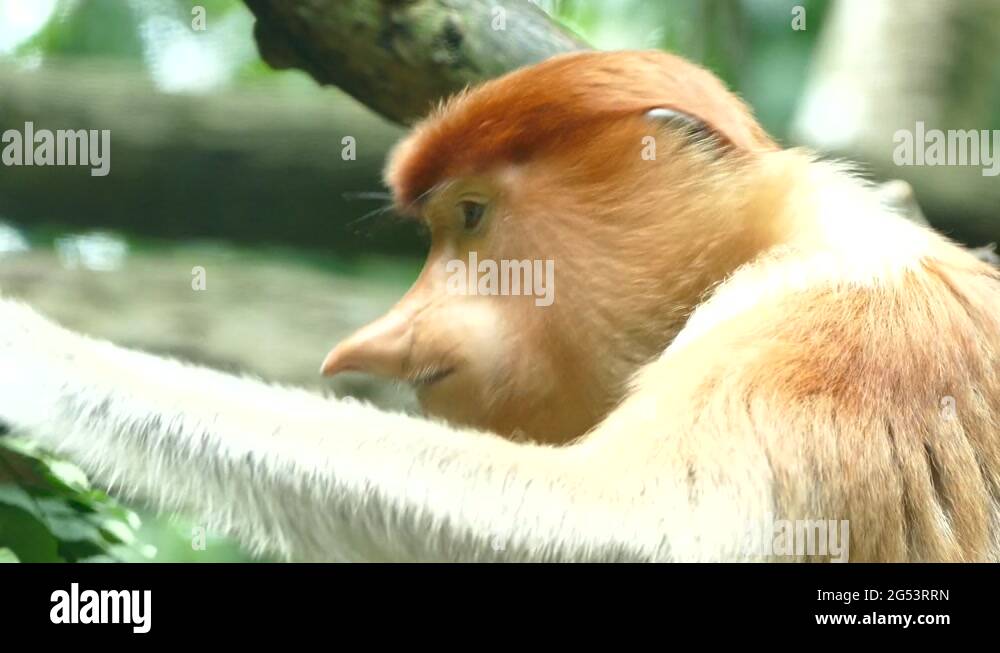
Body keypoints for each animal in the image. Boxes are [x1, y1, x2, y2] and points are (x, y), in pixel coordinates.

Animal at [0, 50, 998, 562]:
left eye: (471, 218)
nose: (382, 339)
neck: (770, 233)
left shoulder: (825, 326)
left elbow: (636, 531)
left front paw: (34, 354)